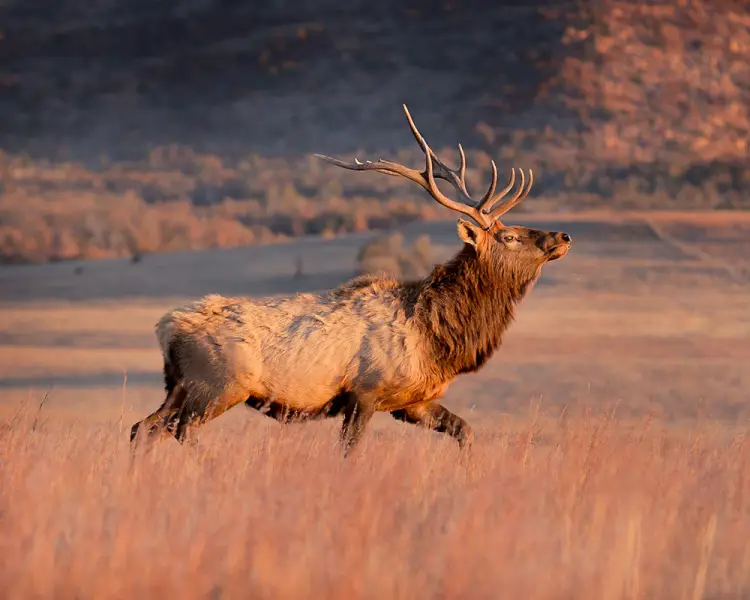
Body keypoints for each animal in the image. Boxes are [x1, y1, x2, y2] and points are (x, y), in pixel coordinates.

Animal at [130, 104, 572, 455]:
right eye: (509, 236)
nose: (563, 236)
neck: (435, 336)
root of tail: (165, 328)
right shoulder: (364, 392)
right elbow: (350, 453)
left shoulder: (413, 402)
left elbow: (466, 431)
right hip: (217, 385)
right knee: (178, 429)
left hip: (179, 386)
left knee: (143, 427)